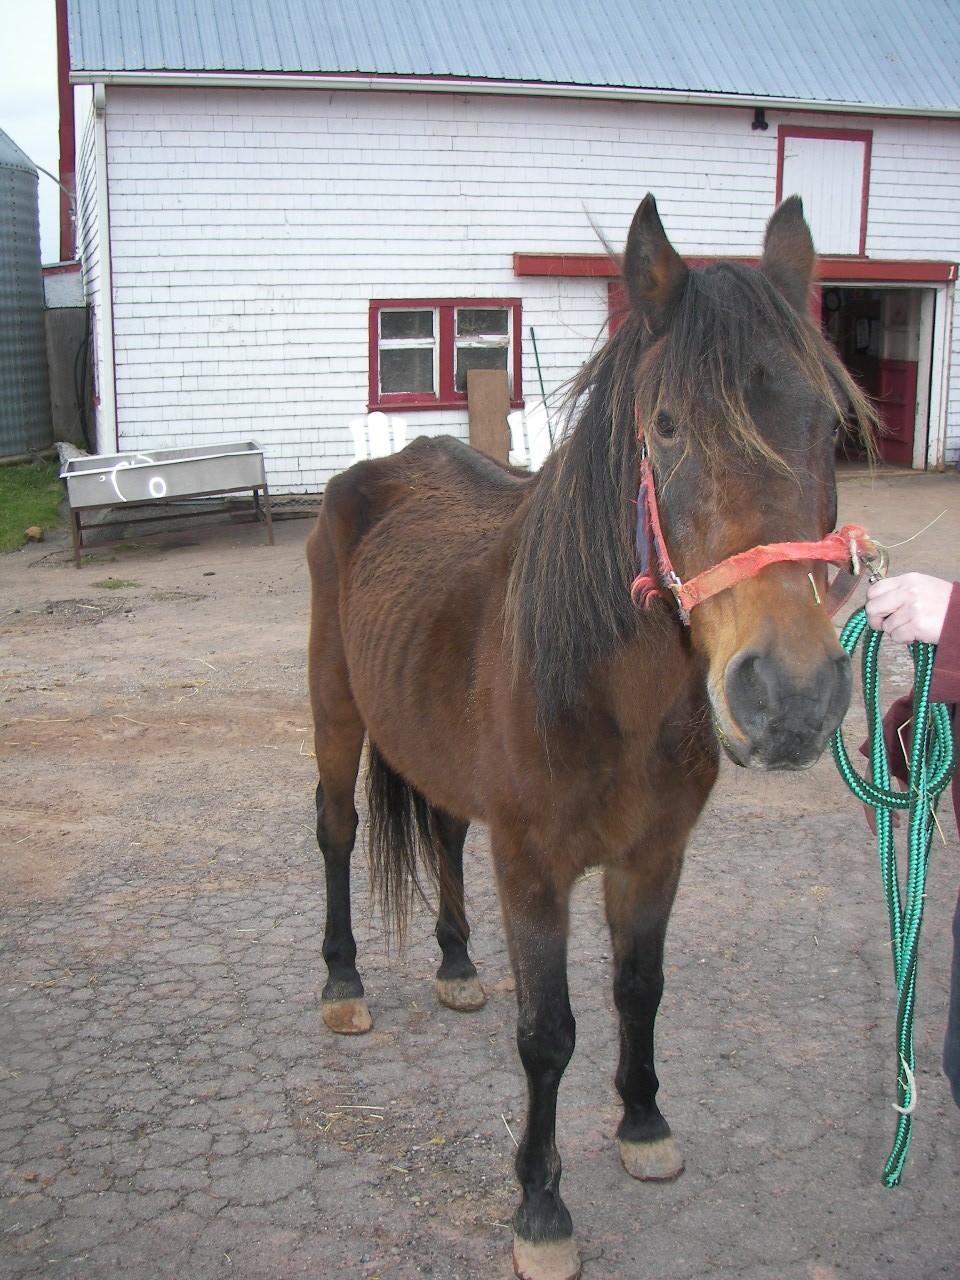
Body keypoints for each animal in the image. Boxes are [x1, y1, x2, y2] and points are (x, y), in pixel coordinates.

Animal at [306, 194, 877, 1280]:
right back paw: (345, 982)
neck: (616, 696)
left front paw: (644, 1124)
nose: (791, 696)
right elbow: (548, 1033)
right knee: (337, 832)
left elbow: (638, 989)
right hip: (335, 712)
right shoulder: (534, 868)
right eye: (666, 425)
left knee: (444, 834)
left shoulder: (653, 857)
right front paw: (540, 1206)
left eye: (829, 427)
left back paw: (454, 968)